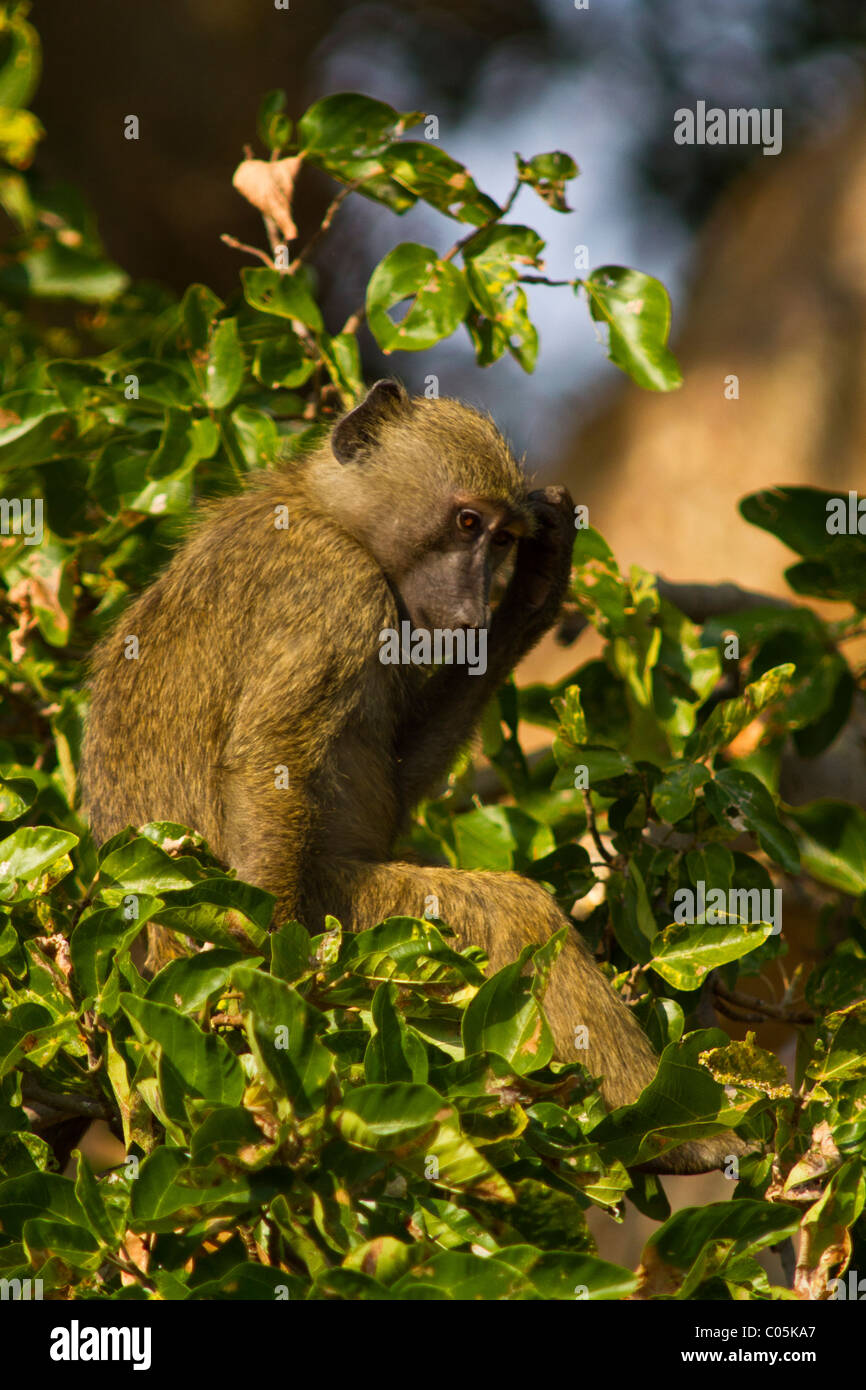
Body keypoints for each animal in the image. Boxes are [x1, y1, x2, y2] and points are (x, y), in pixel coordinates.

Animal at [81, 379, 746, 1175]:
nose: (471, 608)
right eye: (466, 522)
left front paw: (537, 590)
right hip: (352, 929)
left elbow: (393, 774)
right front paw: (258, 995)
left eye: (504, 540)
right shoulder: (337, 592)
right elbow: (267, 762)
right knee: (516, 916)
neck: (332, 517)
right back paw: (684, 1136)